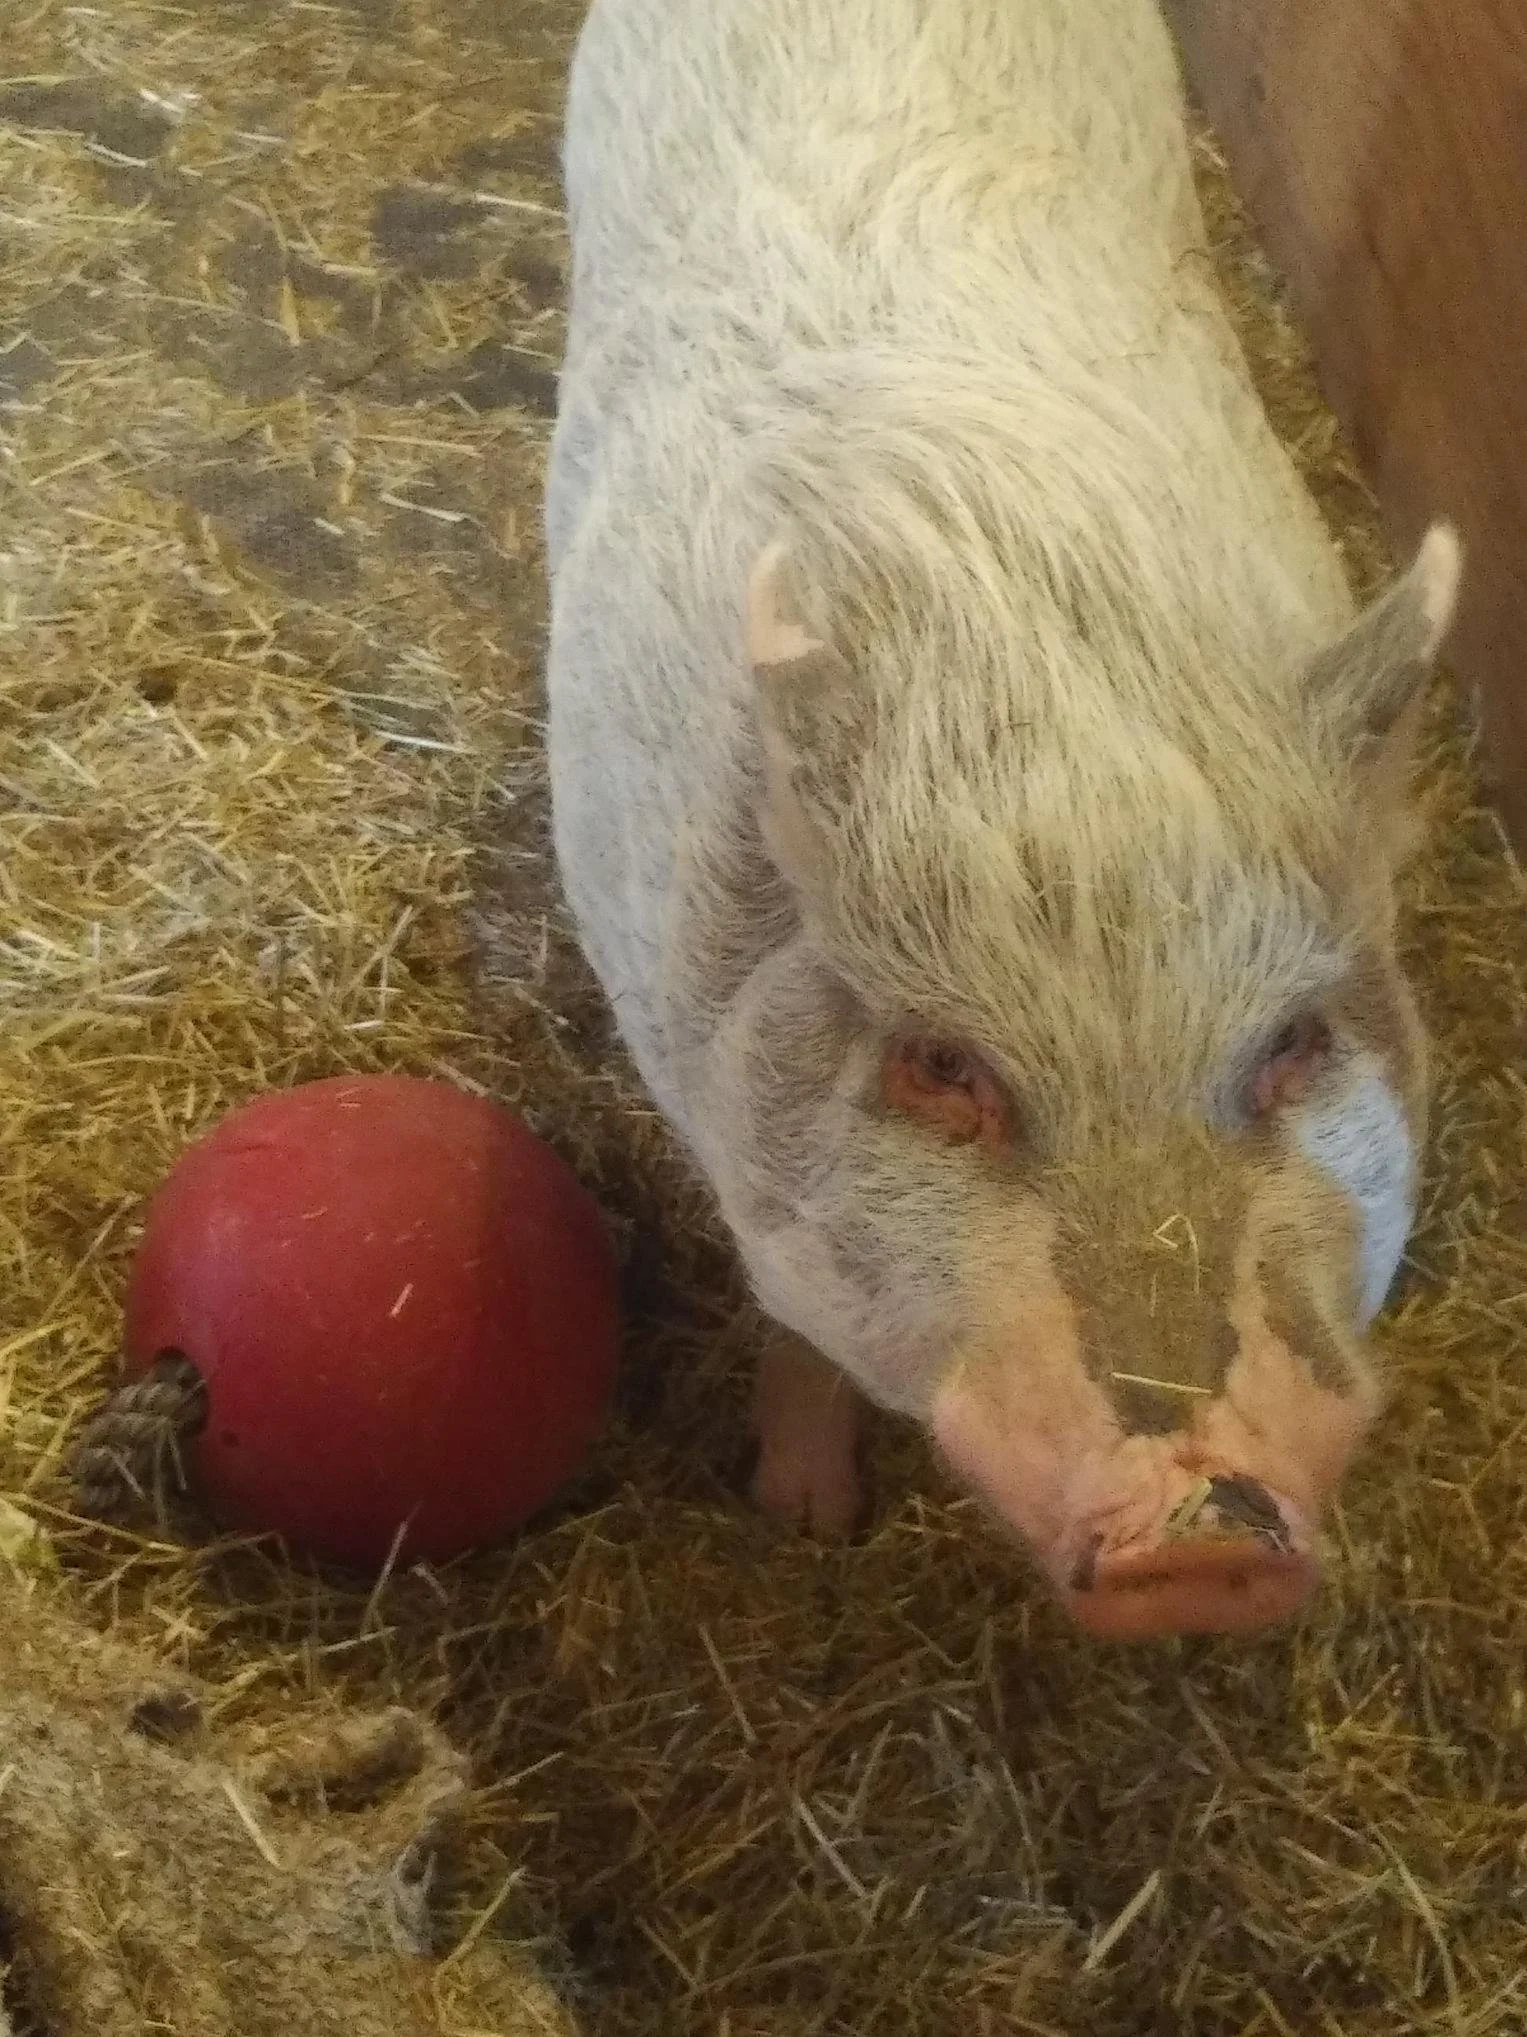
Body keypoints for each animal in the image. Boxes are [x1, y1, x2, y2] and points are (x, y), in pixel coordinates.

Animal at [541, 0, 1461, 1640]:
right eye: (940, 1066)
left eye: (1293, 1043)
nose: (1200, 1531)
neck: (1040, 672)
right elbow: (797, 1325)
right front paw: (807, 1521)